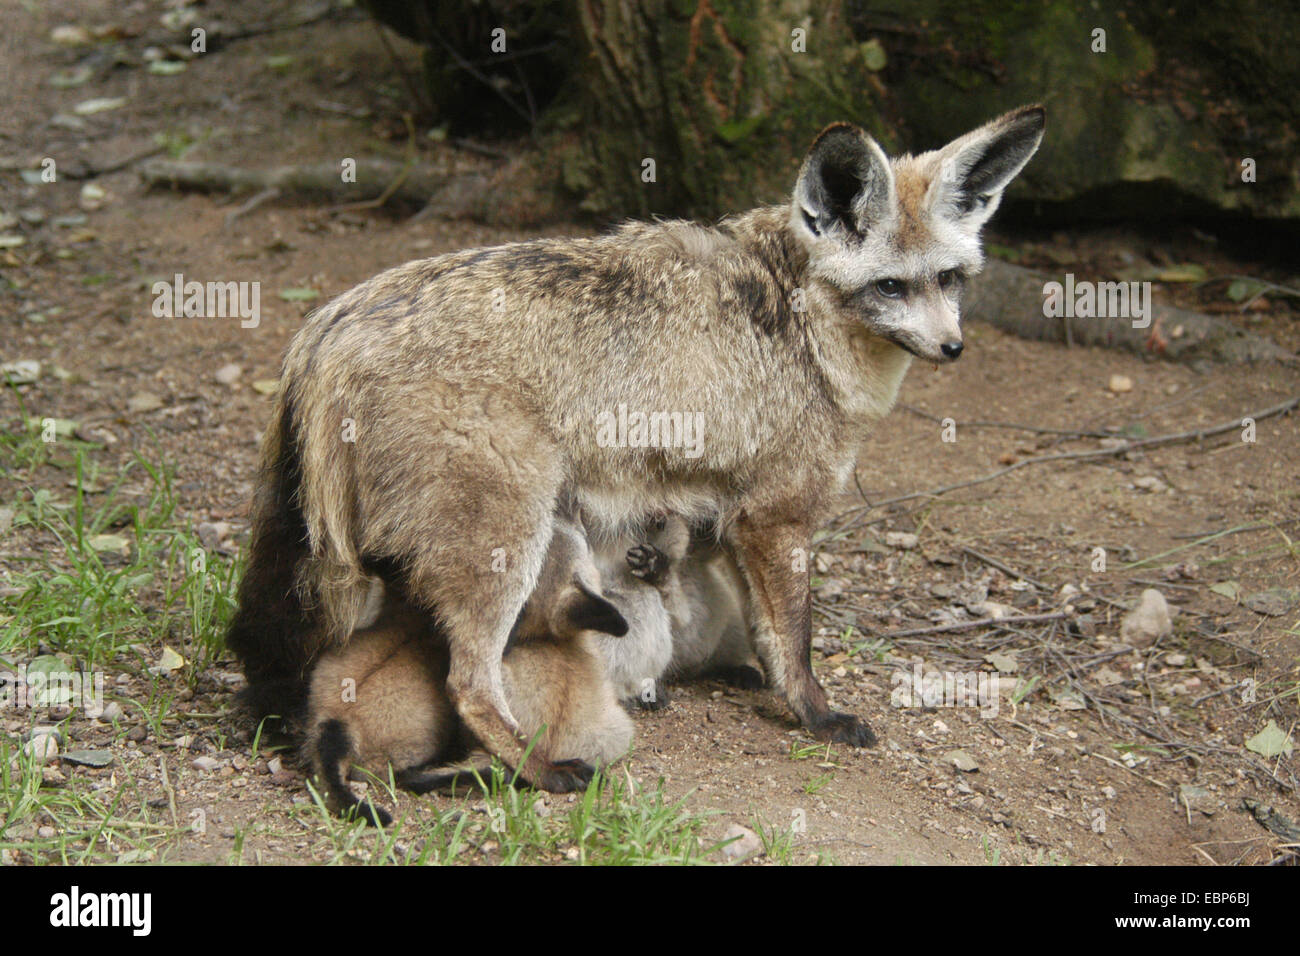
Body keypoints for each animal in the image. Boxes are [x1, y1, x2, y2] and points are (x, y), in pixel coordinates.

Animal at [226, 105, 1045, 791]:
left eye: (948, 278)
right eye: (890, 287)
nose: (954, 347)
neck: (802, 327)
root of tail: (326, 325)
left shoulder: (730, 518)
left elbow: (755, 632)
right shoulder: (776, 518)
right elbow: (794, 643)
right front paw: (816, 716)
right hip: (503, 549)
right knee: (468, 684)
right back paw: (538, 771)